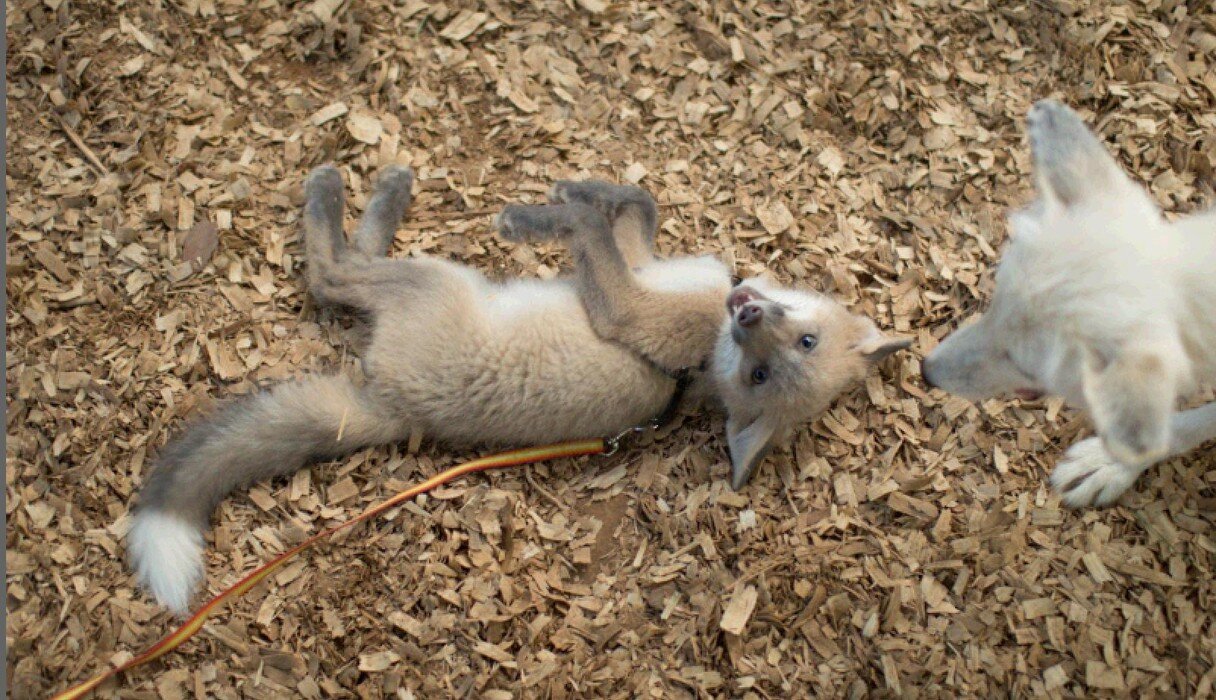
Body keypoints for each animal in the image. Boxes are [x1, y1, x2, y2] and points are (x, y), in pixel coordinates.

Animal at [128, 164, 911, 615]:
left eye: (760, 375)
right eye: (799, 345)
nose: (746, 313)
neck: (702, 362)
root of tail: (390, 409)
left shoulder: (625, 308)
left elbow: (588, 227)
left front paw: (536, 214)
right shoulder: (645, 263)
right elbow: (634, 206)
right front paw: (583, 187)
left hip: (426, 282)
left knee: (333, 272)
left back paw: (344, 191)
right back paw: (387, 188)